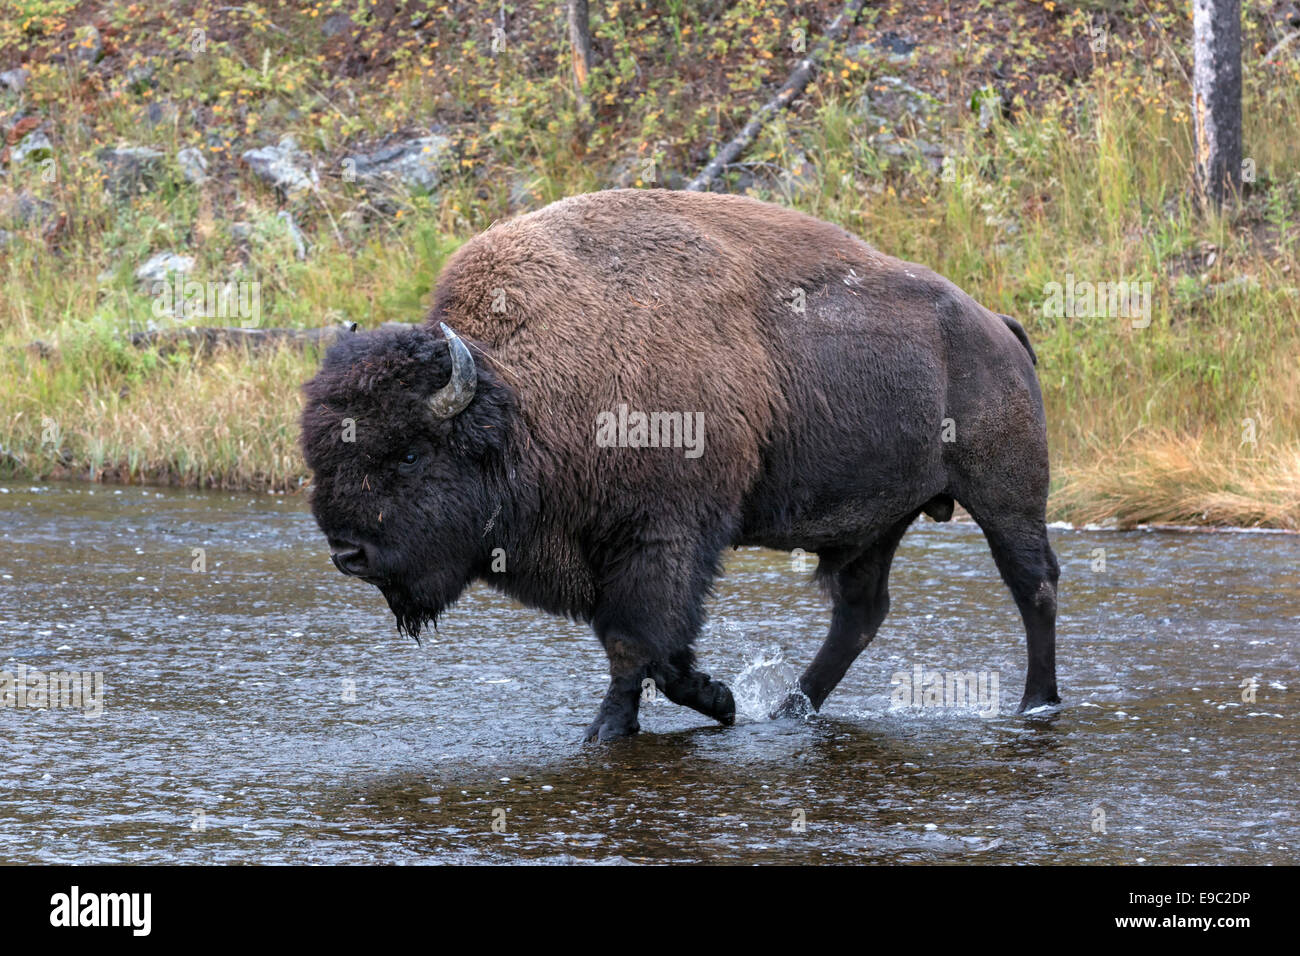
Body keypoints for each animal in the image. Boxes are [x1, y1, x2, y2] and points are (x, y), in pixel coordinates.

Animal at [300, 189, 1059, 742]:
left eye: (409, 451)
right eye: (321, 453)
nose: (347, 553)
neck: (522, 397)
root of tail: (996, 326)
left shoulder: (663, 539)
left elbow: (636, 644)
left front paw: (626, 727)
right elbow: (651, 650)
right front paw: (710, 703)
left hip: (1005, 496)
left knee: (1035, 585)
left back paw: (1037, 704)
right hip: (876, 524)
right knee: (859, 614)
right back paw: (790, 709)